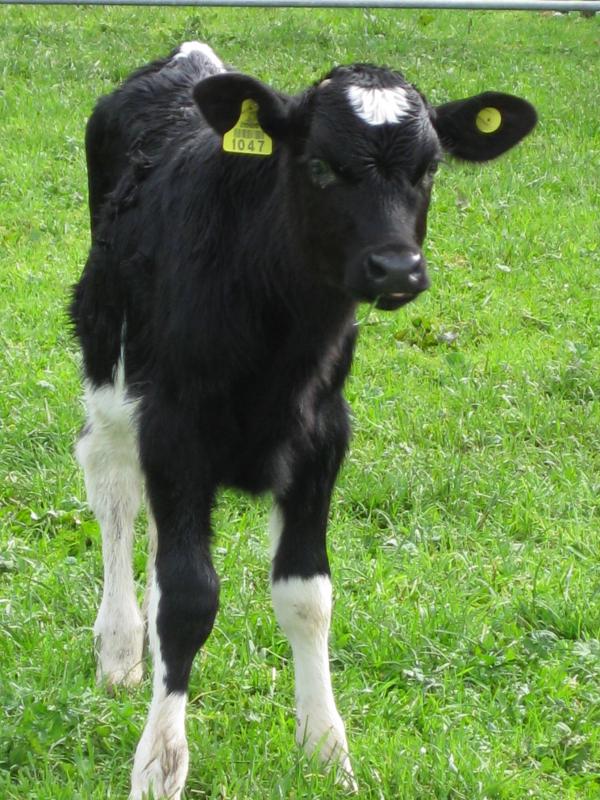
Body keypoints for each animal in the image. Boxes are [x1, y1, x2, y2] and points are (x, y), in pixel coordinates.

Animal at [70, 42, 537, 799]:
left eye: (430, 168)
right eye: (319, 166)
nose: (397, 267)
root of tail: (188, 57)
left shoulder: (322, 437)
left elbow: (306, 595)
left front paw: (325, 750)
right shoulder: (174, 427)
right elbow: (187, 598)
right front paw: (159, 764)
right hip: (109, 364)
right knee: (113, 488)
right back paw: (118, 649)